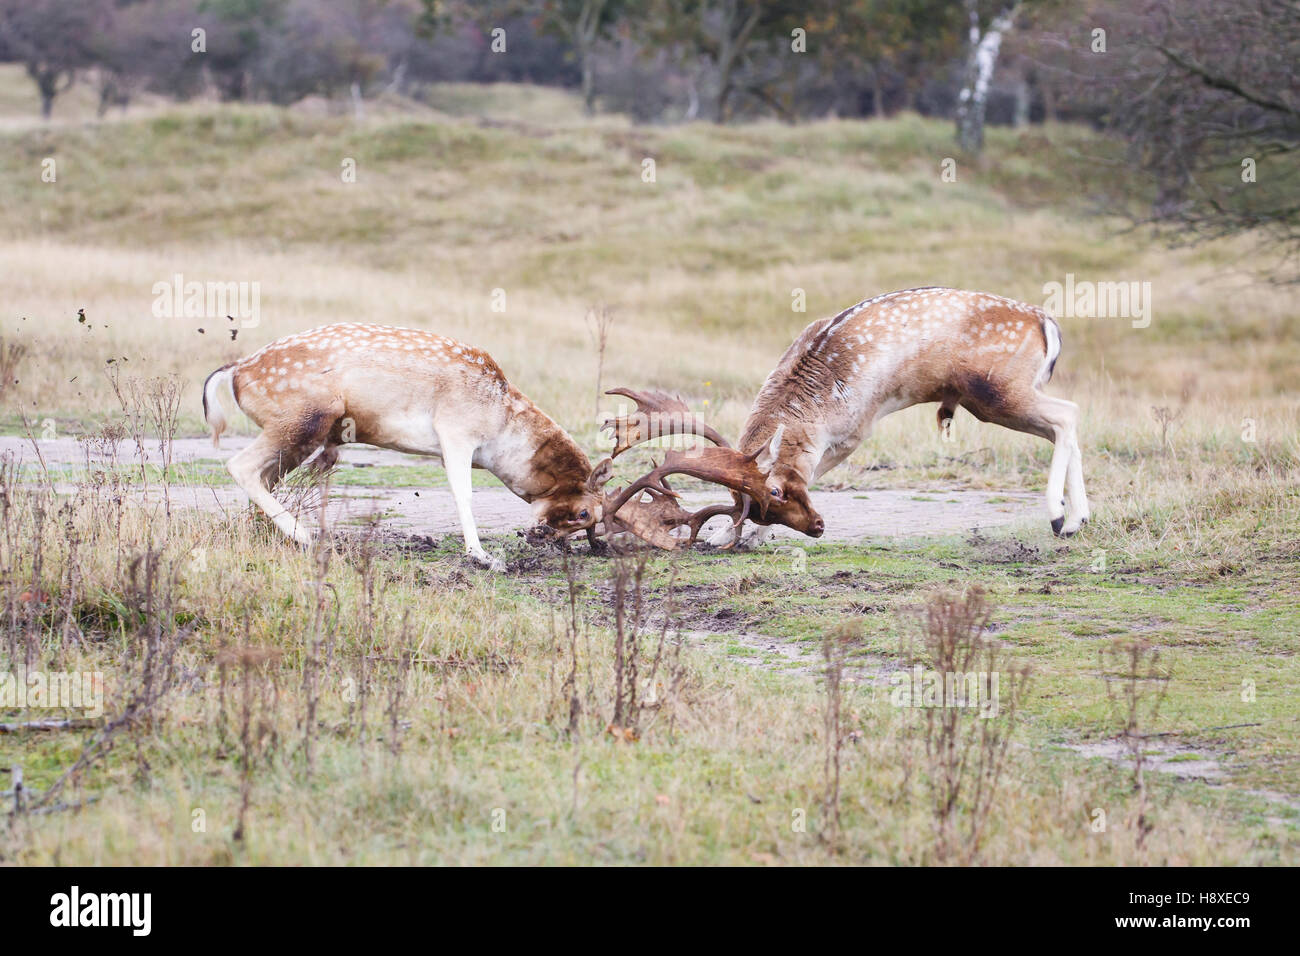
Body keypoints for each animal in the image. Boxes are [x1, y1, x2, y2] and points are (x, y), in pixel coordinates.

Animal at [202, 323, 628, 571]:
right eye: (585, 513)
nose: (545, 538)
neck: (501, 423)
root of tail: (235, 371)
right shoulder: (456, 431)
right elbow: (463, 493)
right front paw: (484, 557)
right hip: (304, 417)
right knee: (240, 465)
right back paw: (305, 537)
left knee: (264, 478)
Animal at [599, 287, 1090, 549]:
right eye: (754, 505)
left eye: (774, 491)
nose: (817, 527)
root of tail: (1046, 322)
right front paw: (729, 535)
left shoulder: (854, 430)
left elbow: (815, 471)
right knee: (1063, 424)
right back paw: (1078, 520)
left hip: (995, 391)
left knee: (1068, 413)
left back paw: (1058, 517)